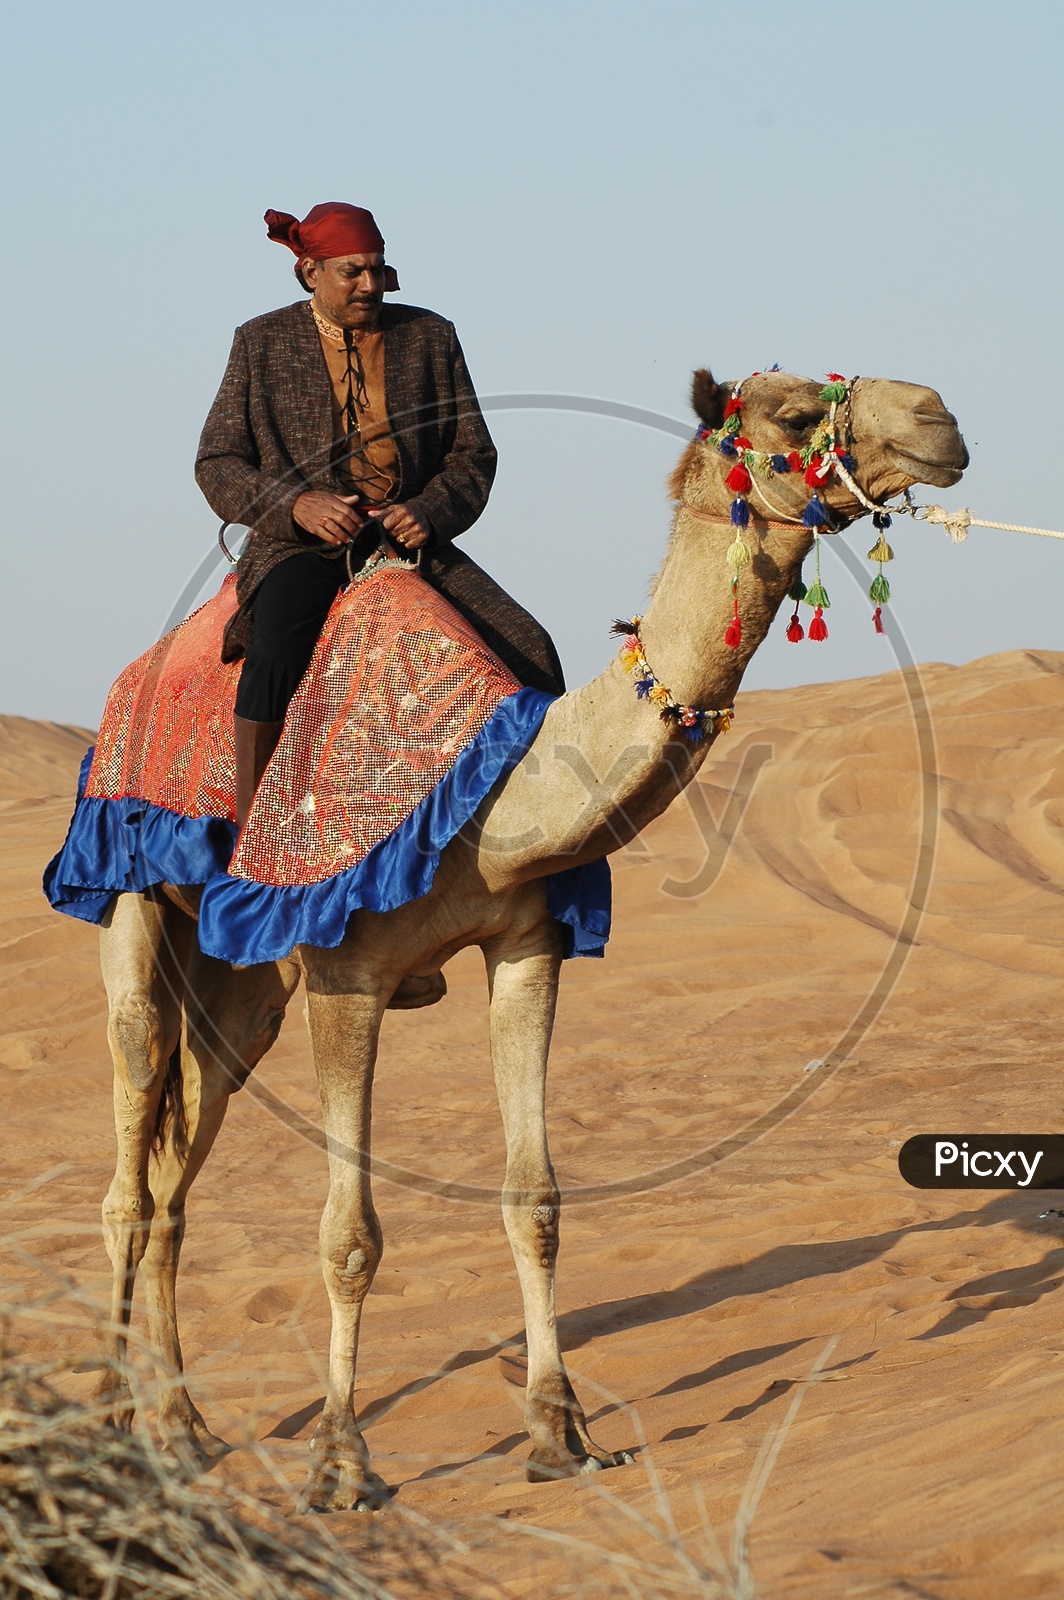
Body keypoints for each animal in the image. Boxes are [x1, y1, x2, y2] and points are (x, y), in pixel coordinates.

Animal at [92, 365, 967, 1509]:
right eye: (787, 415)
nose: (937, 419)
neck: (494, 788)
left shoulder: (524, 946)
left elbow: (534, 1199)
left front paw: (562, 1432)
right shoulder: (345, 971)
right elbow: (349, 1235)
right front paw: (340, 1459)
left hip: (245, 996)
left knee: (176, 1166)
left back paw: (180, 1425)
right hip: (132, 901)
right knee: (131, 1147)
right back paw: (115, 1425)